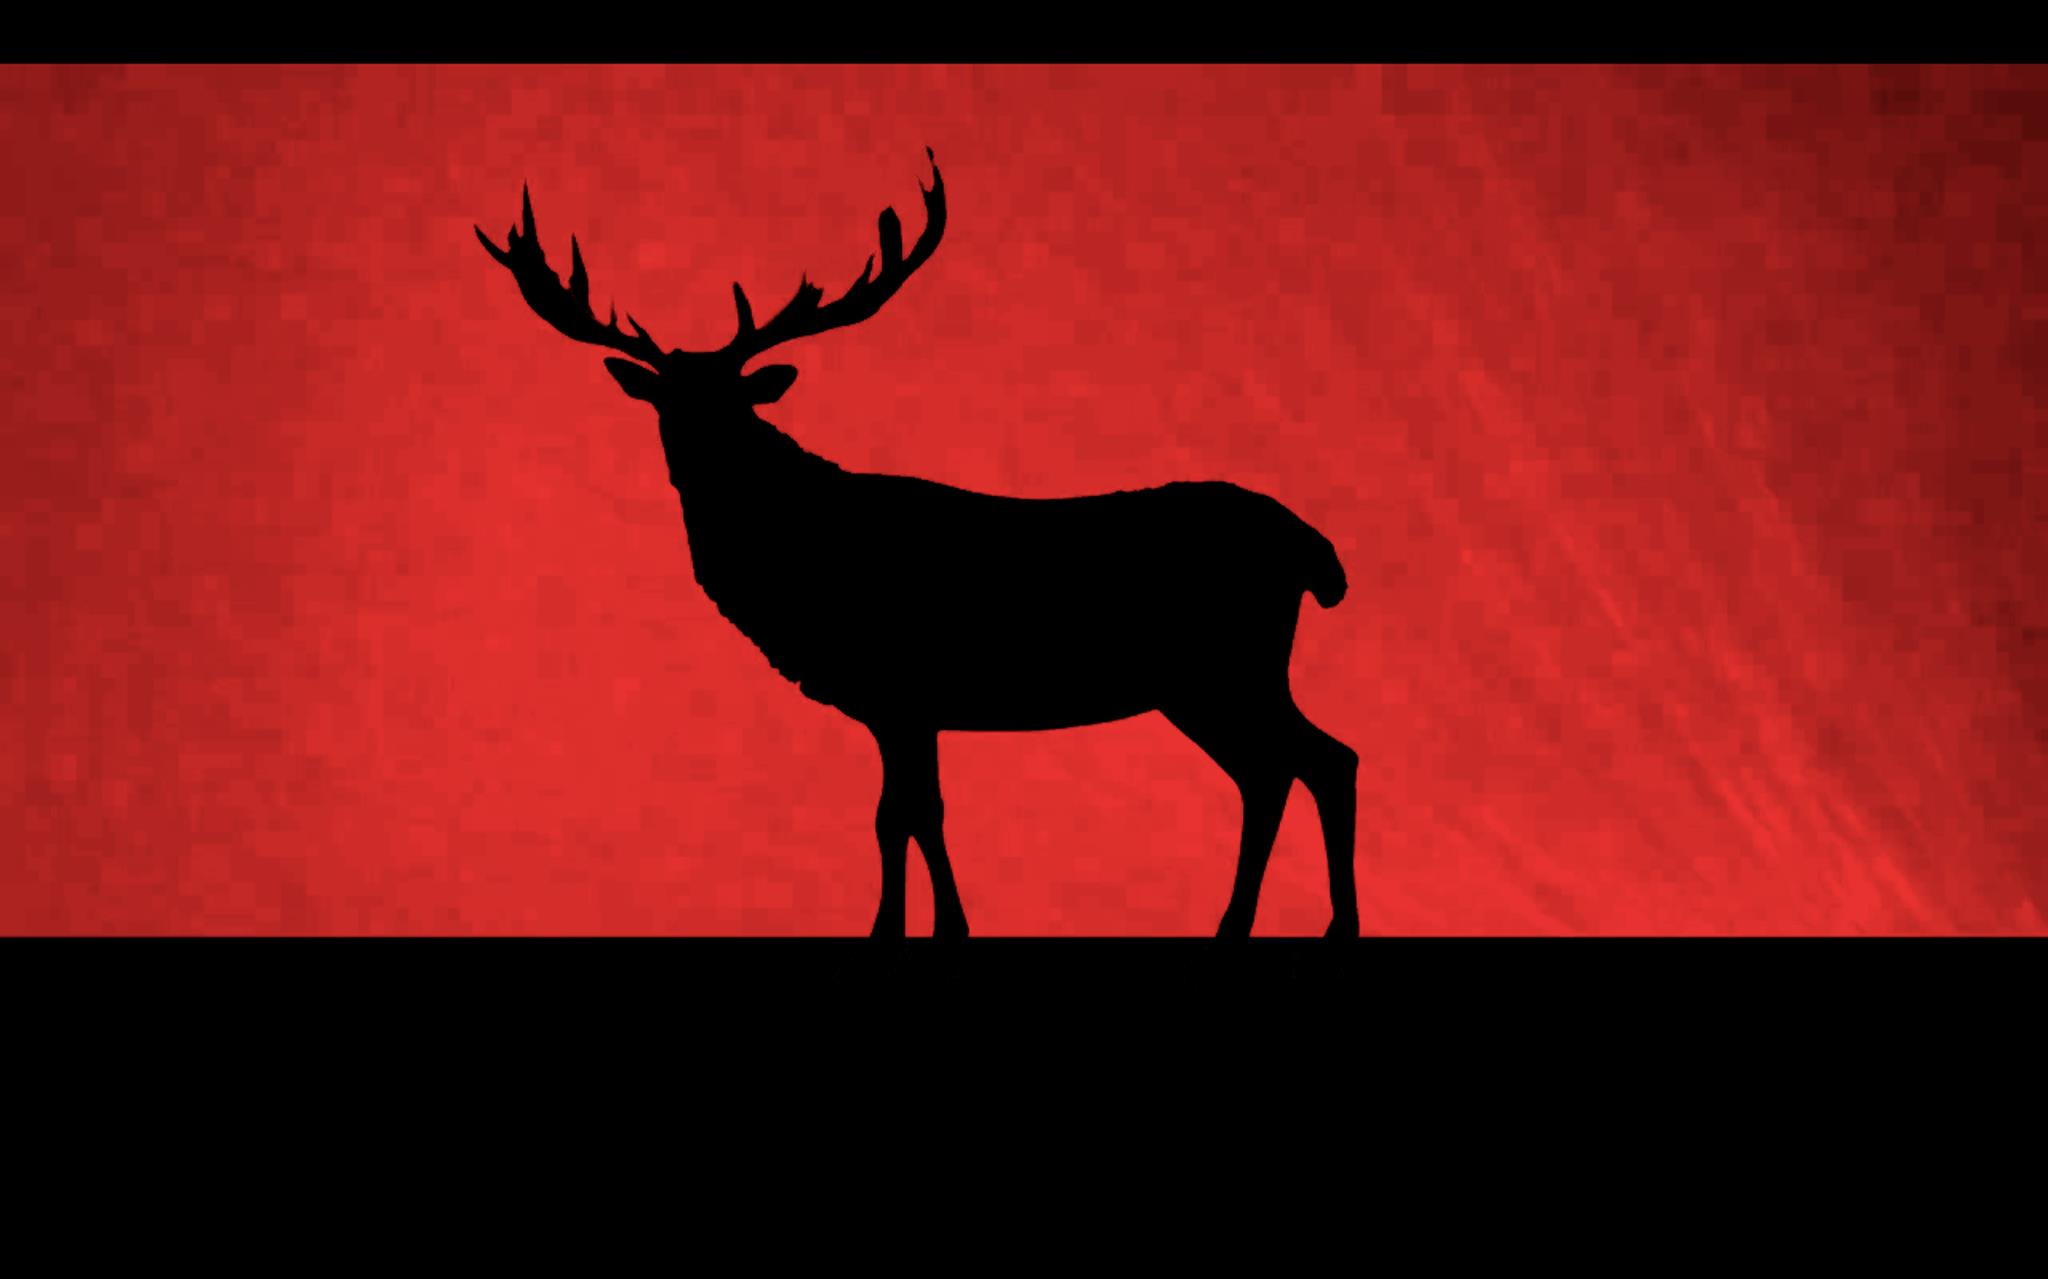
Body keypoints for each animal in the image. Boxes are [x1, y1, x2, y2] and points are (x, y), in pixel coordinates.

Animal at [476, 150, 1359, 939]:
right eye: (666, 402)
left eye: (735, 401)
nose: (695, 461)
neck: (802, 562)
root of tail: (1313, 549)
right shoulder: (894, 703)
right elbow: (899, 813)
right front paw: (914, 925)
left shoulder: (903, 685)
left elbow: (909, 812)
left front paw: (925, 928)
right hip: (1211, 678)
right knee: (1297, 764)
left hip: (1225, 663)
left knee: (1310, 761)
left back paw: (1291, 924)